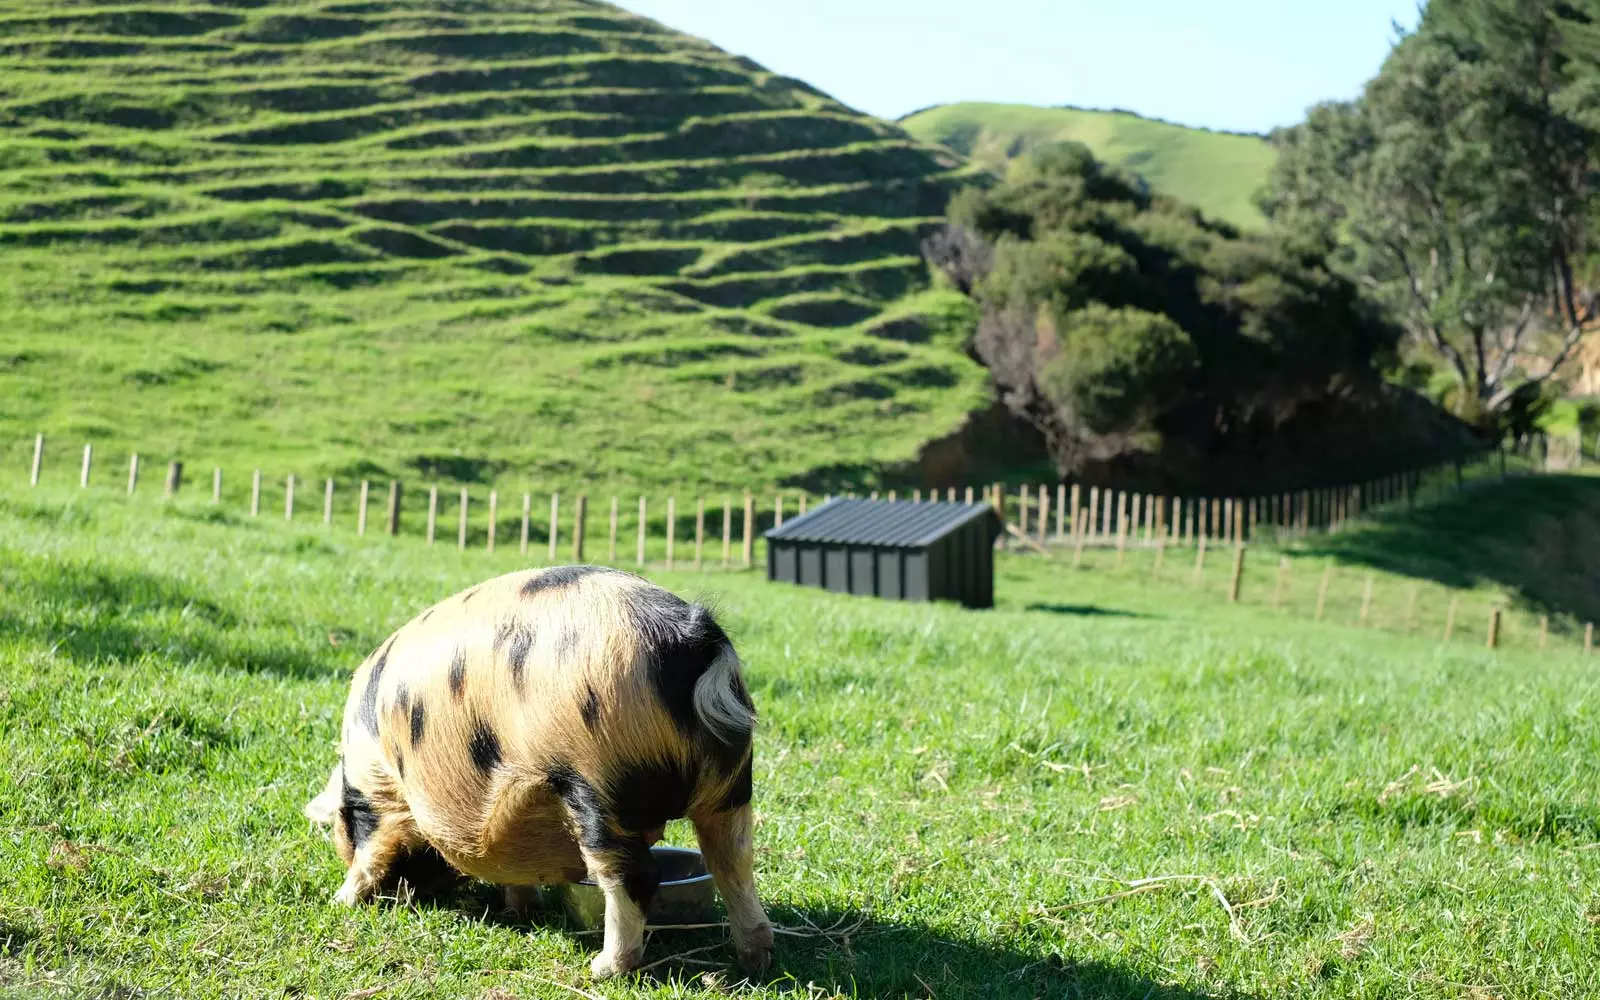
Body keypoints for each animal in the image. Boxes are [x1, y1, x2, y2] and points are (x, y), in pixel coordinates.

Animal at [304, 566, 774, 979]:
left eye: (341, 830)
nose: (417, 894)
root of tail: (691, 640)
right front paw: (524, 911)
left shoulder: (379, 794)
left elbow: (369, 854)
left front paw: (339, 901)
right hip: (730, 781)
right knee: (733, 860)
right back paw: (756, 957)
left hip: (597, 780)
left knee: (634, 874)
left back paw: (604, 969)